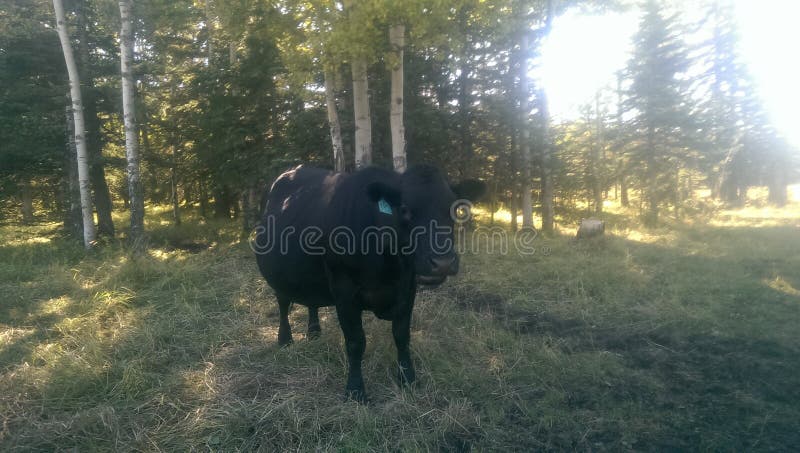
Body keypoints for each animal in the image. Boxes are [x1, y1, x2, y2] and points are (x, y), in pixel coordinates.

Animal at [253, 164, 484, 402]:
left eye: (454, 209)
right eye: (404, 209)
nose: (443, 263)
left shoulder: (407, 289)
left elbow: (402, 336)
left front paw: (408, 378)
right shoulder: (344, 291)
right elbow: (356, 342)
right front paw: (355, 390)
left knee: (311, 301)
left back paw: (314, 333)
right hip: (278, 274)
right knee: (283, 303)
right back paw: (285, 339)